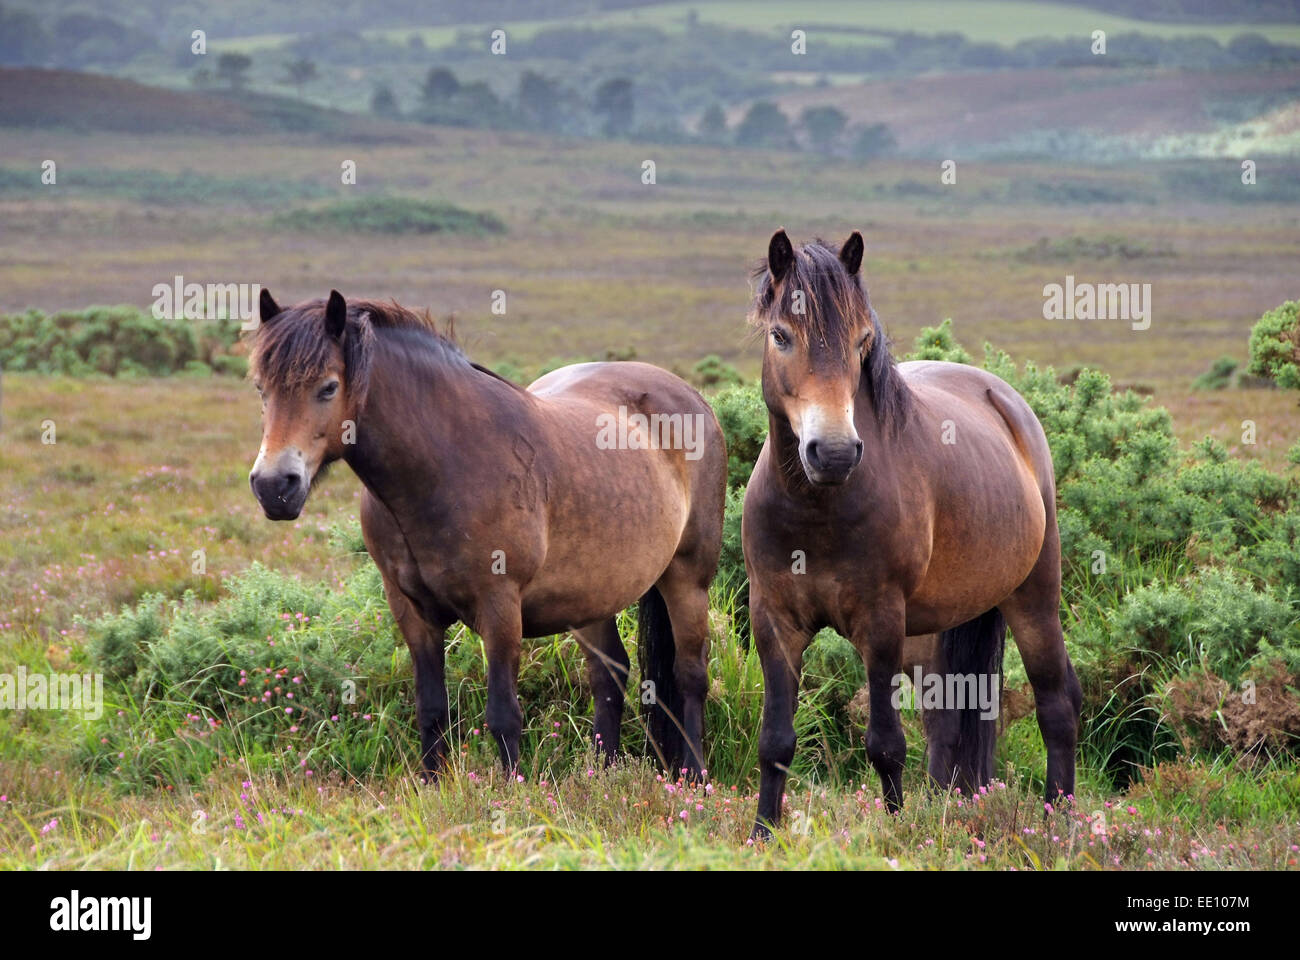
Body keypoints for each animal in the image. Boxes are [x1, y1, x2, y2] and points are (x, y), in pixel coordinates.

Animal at [246, 289, 726, 779]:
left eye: (328, 387)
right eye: (261, 389)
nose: (274, 486)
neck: (444, 464)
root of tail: (693, 397)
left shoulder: (499, 606)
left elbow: (502, 714)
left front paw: (514, 788)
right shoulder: (411, 612)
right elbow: (431, 709)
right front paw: (433, 784)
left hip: (687, 578)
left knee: (690, 675)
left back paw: (694, 775)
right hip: (593, 595)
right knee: (608, 674)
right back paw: (602, 773)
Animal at [741, 230, 1081, 838]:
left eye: (861, 341)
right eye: (781, 336)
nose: (833, 453)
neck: (815, 508)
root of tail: (1007, 402)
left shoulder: (881, 620)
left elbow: (885, 744)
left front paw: (894, 829)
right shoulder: (773, 618)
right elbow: (776, 741)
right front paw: (762, 833)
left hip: (1034, 596)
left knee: (1057, 702)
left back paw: (1057, 819)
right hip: (934, 630)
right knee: (947, 721)